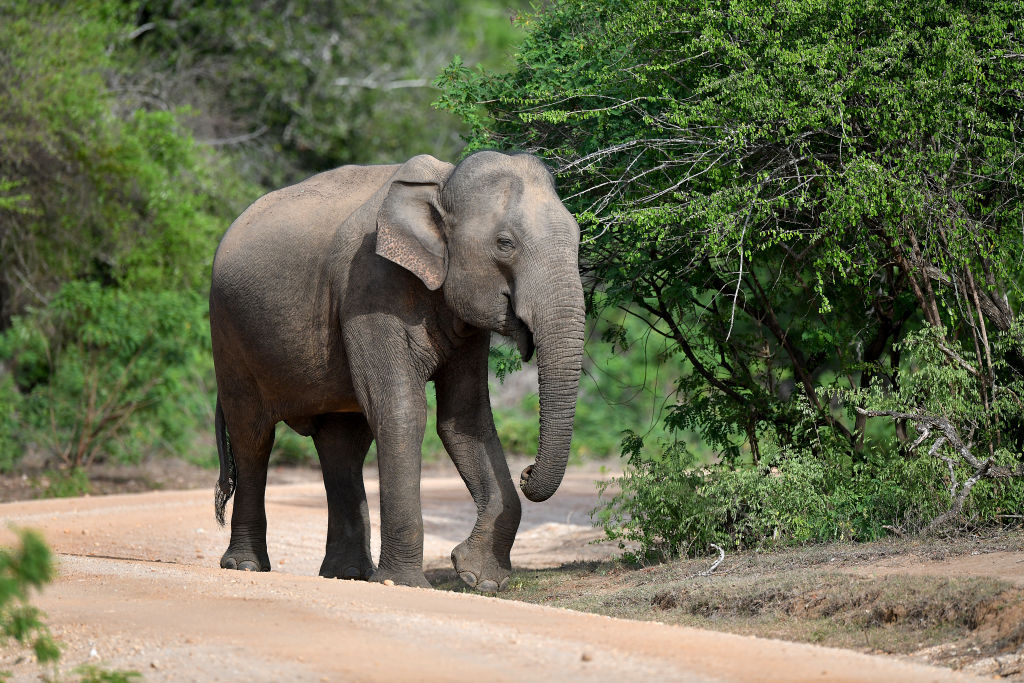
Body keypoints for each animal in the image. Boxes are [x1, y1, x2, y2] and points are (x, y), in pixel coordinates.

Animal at [209, 150, 585, 591]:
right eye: (505, 244)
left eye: (578, 239)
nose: (527, 473)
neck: (443, 184)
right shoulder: (369, 286)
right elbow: (402, 412)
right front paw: (404, 584)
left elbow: (466, 418)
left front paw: (480, 579)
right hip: (229, 333)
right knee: (252, 436)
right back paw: (246, 566)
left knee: (341, 445)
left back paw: (347, 575)